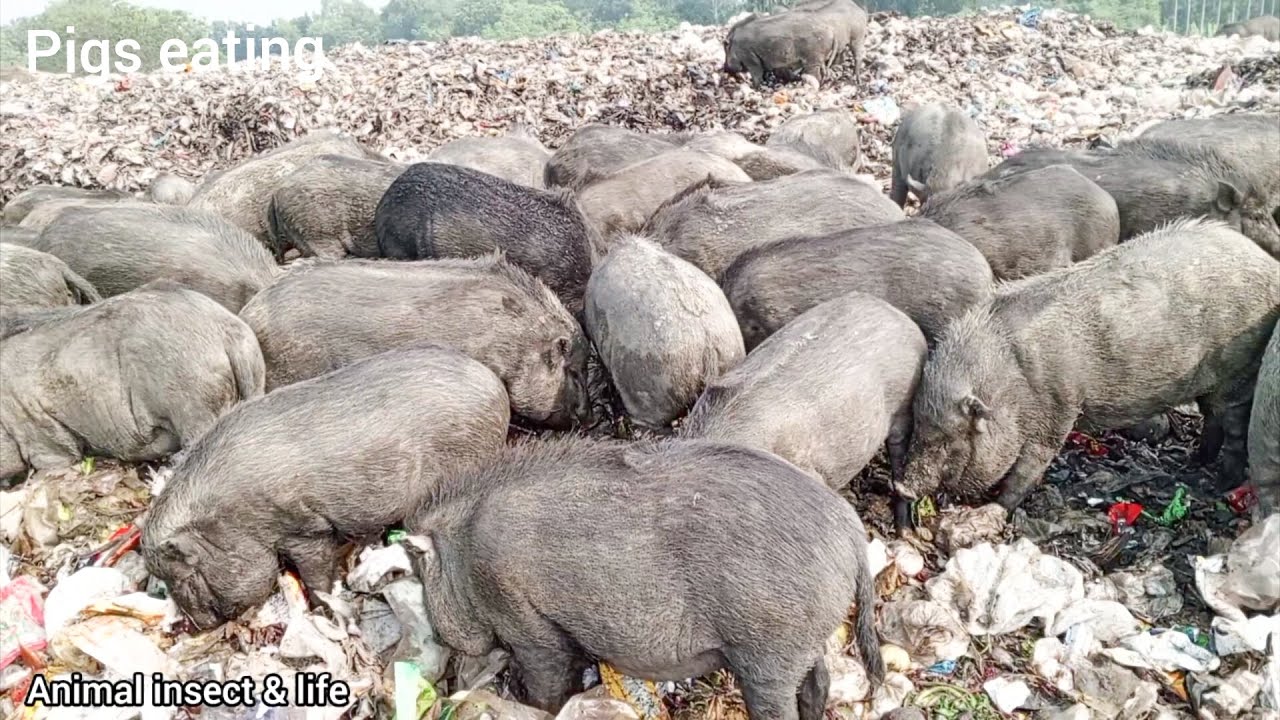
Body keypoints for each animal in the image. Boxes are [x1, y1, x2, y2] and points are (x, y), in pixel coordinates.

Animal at [142, 344, 510, 630]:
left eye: (186, 577)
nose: (196, 627)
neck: (232, 518)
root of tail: (498, 392)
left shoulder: (305, 528)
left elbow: (315, 572)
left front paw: (322, 608)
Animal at [405, 436, 884, 720]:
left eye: (424, 578)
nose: (454, 678)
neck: (466, 550)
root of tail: (852, 534)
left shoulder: (525, 620)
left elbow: (548, 679)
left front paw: (531, 705)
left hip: (768, 651)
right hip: (801, 640)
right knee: (818, 681)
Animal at [896, 219, 1280, 514]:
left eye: (953, 437)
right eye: (919, 424)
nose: (902, 487)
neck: (1010, 387)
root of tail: (1267, 265)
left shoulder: (1059, 409)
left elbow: (1031, 465)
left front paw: (999, 507)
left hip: (1240, 372)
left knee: (1233, 428)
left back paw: (1219, 483)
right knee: (1212, 417)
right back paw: (1193, 464)